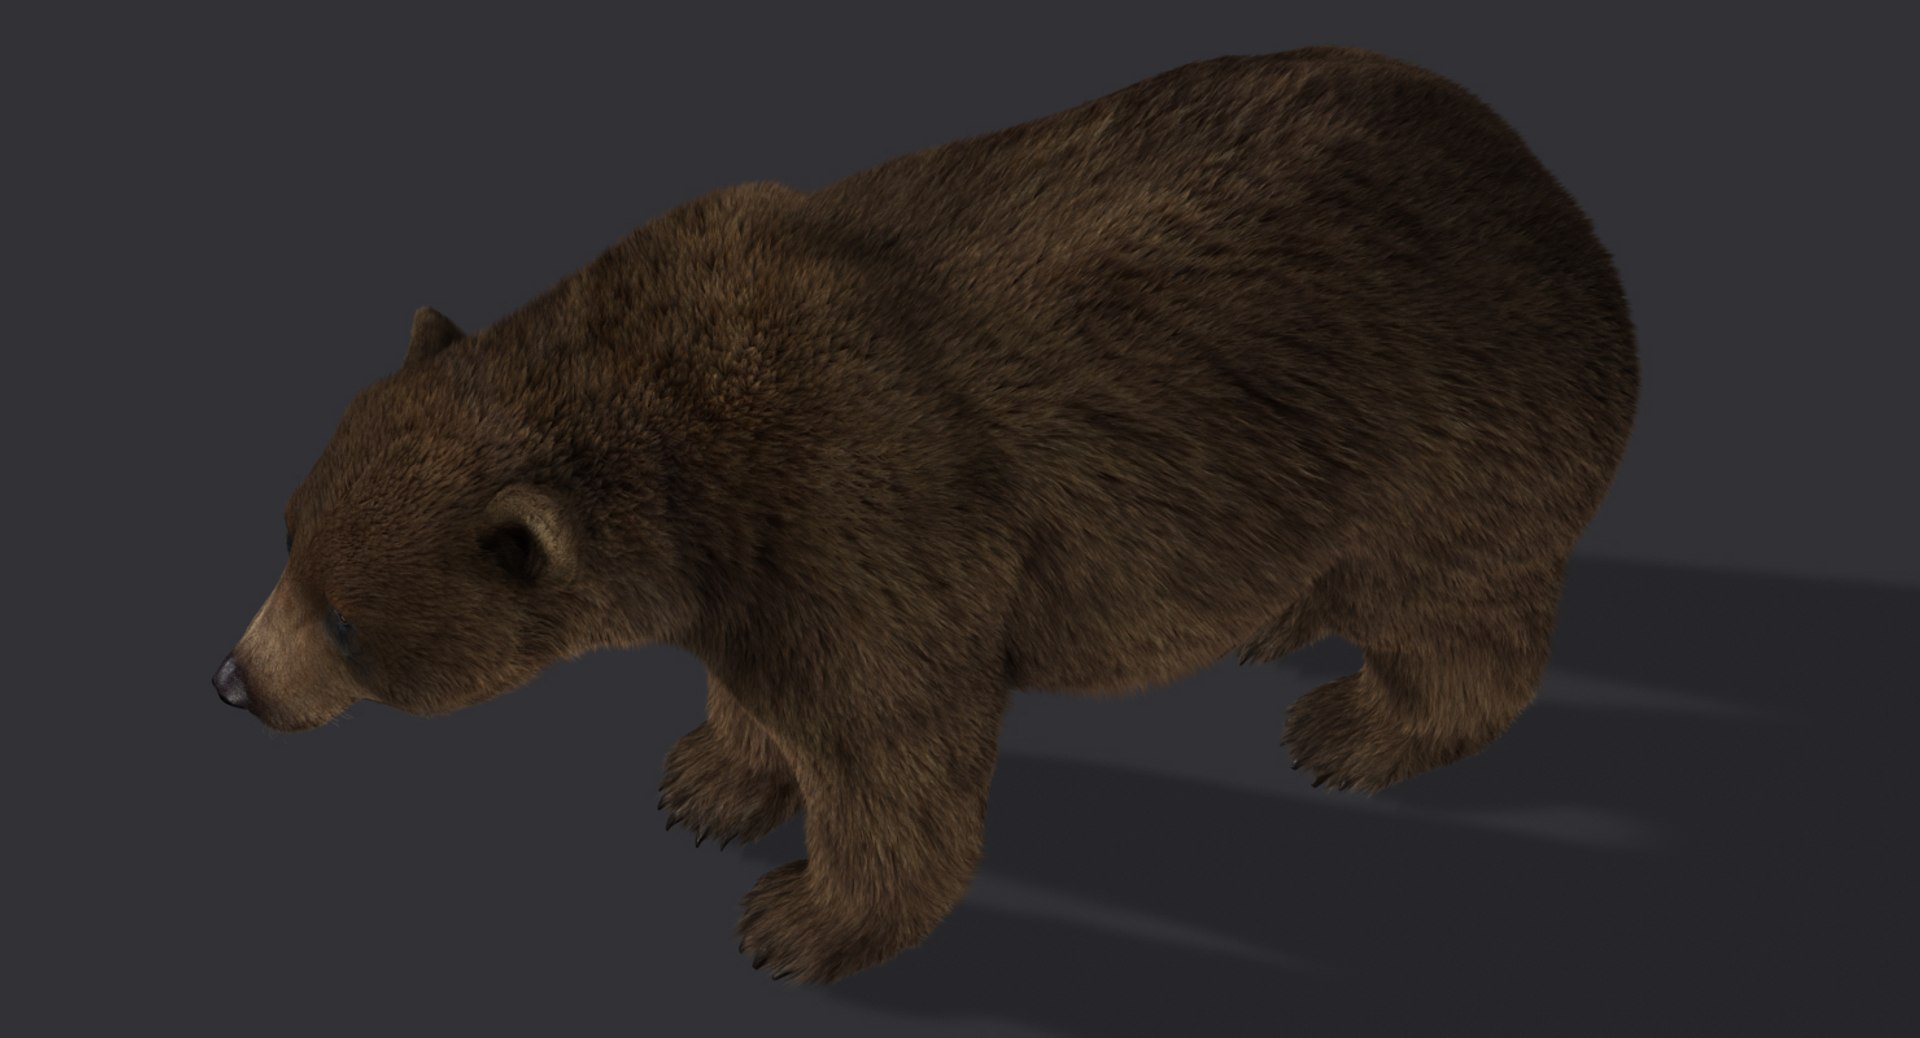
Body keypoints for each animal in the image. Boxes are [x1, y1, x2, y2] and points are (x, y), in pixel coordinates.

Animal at [213, 45, 1639, 984]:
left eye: (345, 624)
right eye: (287, 537)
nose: (235, 681)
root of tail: (1551, 190)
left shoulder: (864, 518)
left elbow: (893, 753)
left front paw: (797, 921)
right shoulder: (755, 572)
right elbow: (760, 696)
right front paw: (709, 778)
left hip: (1451, 430)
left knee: (1453, 606)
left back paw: (1358, 725)